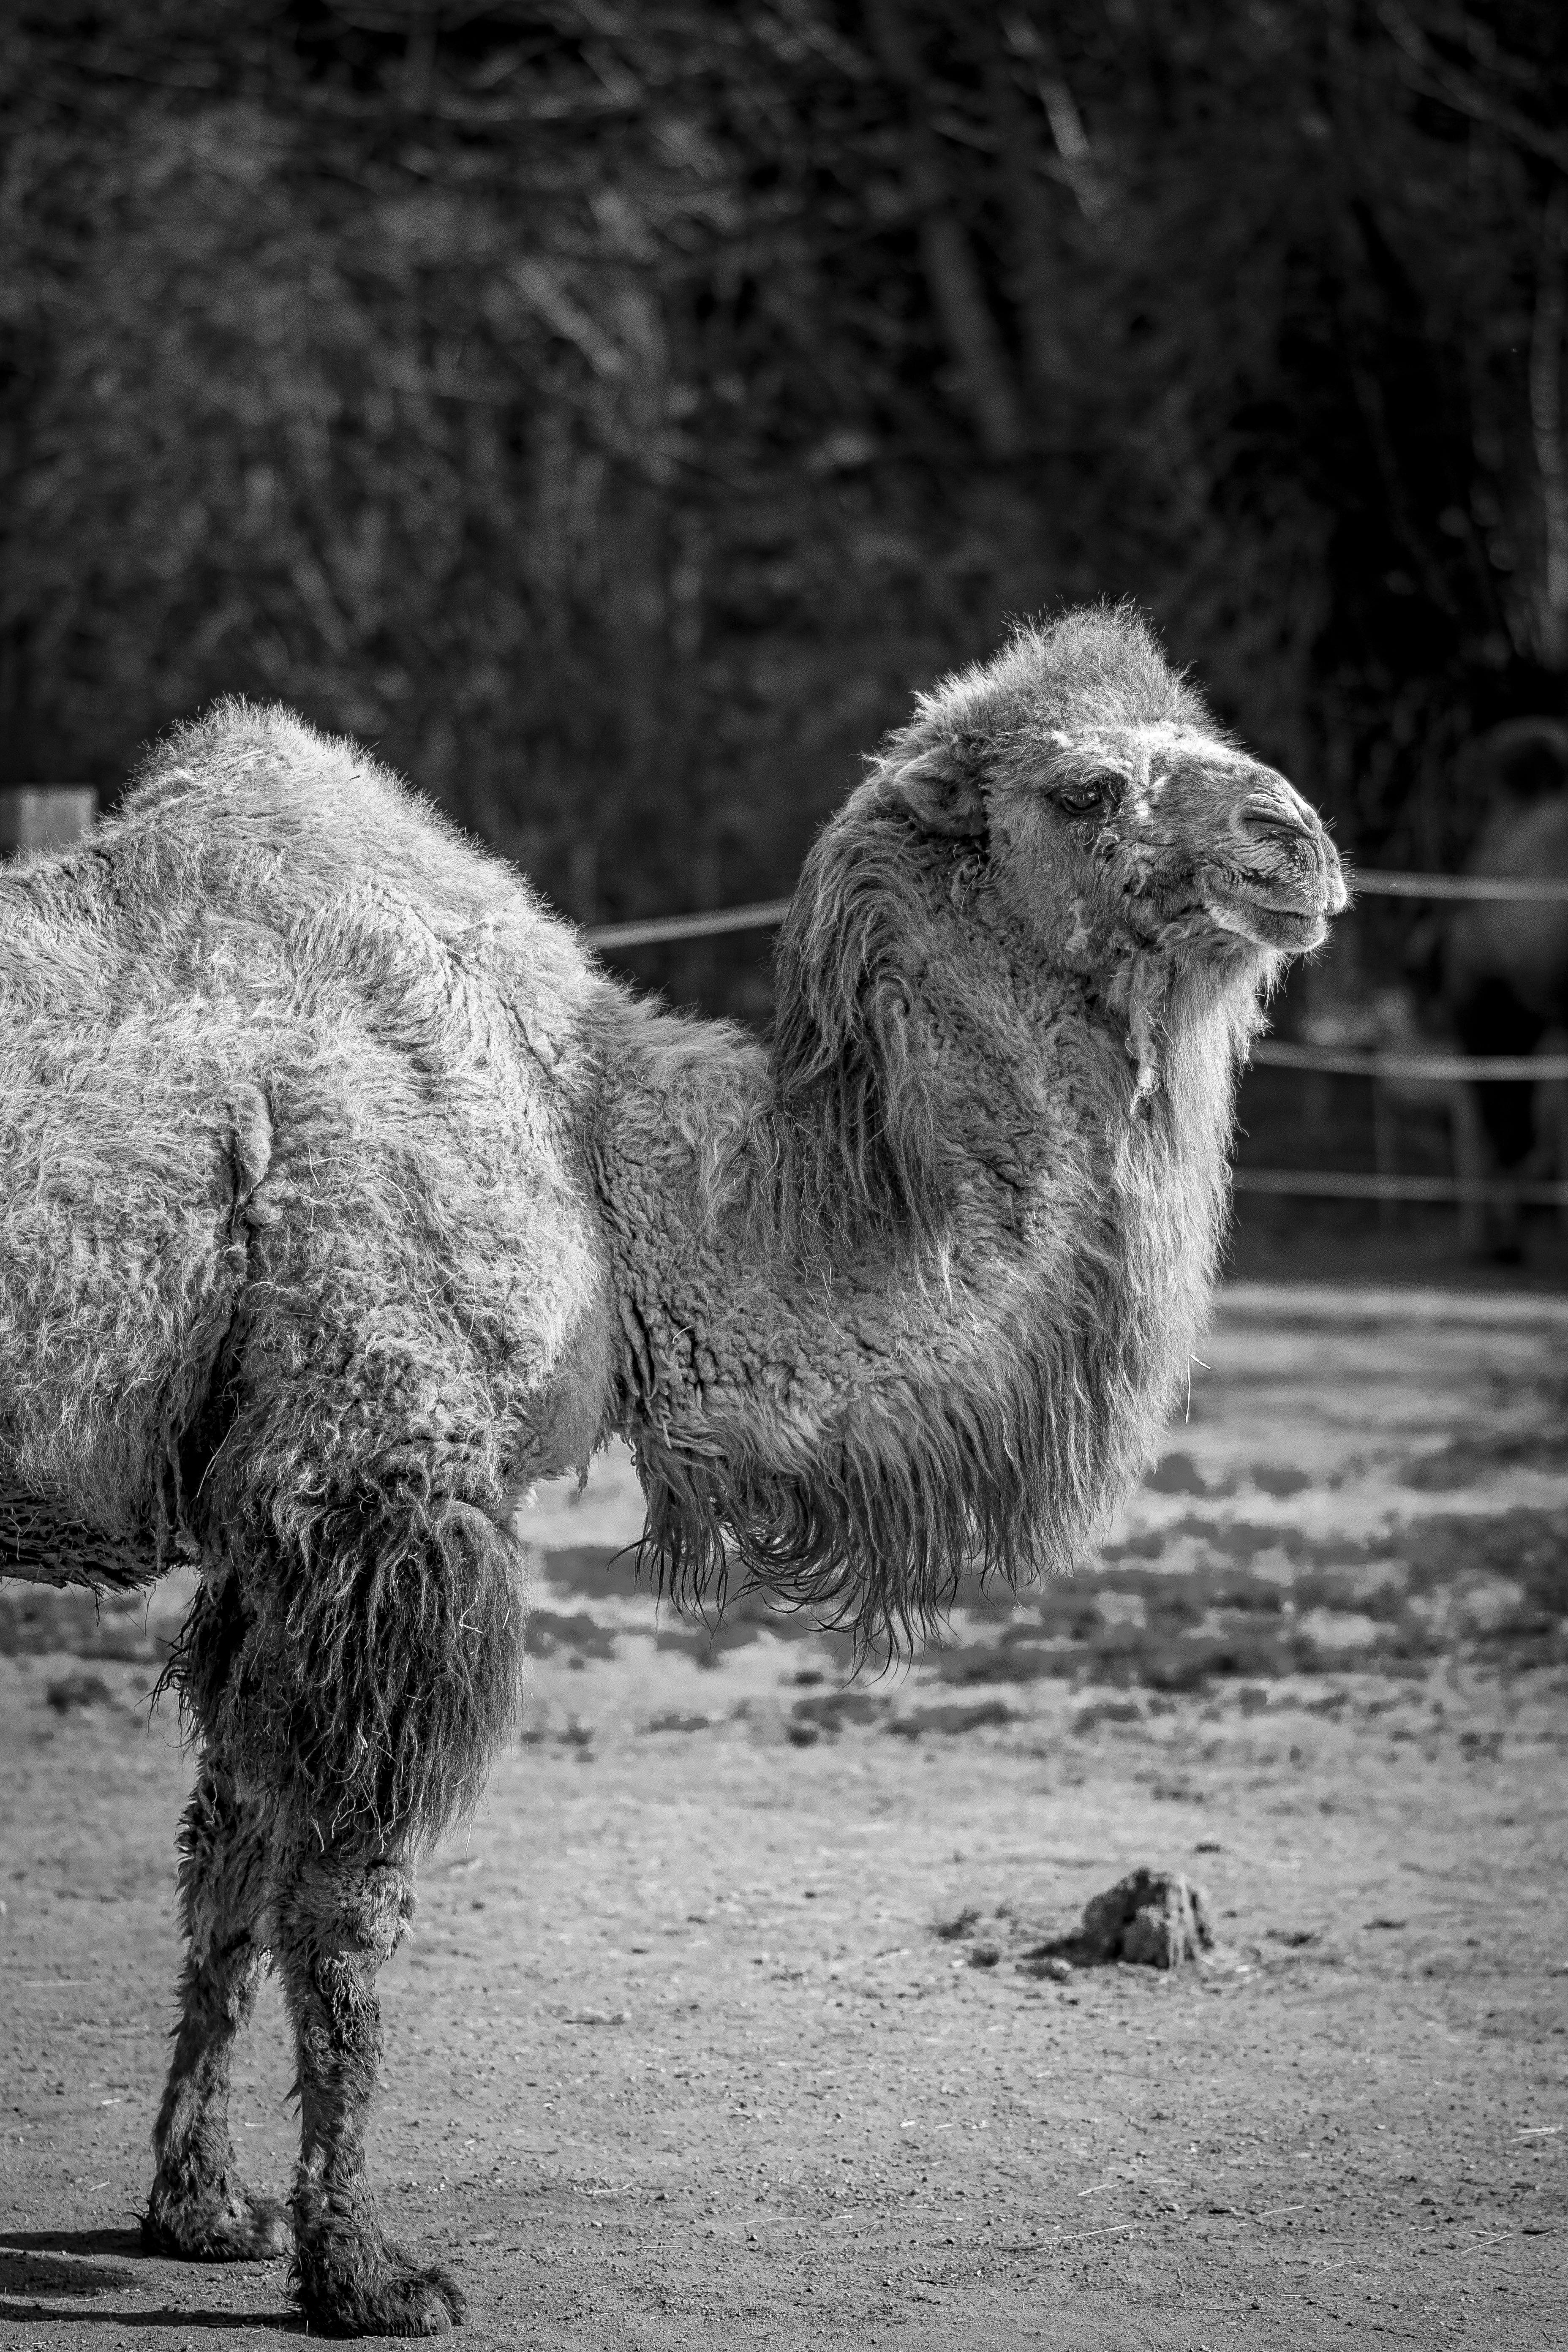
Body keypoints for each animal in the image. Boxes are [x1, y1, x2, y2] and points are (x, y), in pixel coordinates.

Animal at [0, 606, 1343, 2336]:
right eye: (1083, 786)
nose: (1292, 841)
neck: (605, 1168)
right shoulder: (384, 1464)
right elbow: (349, 1886)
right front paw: (366, 2267)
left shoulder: (266, 1503)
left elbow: (227, 1844)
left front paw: (202, 2208)